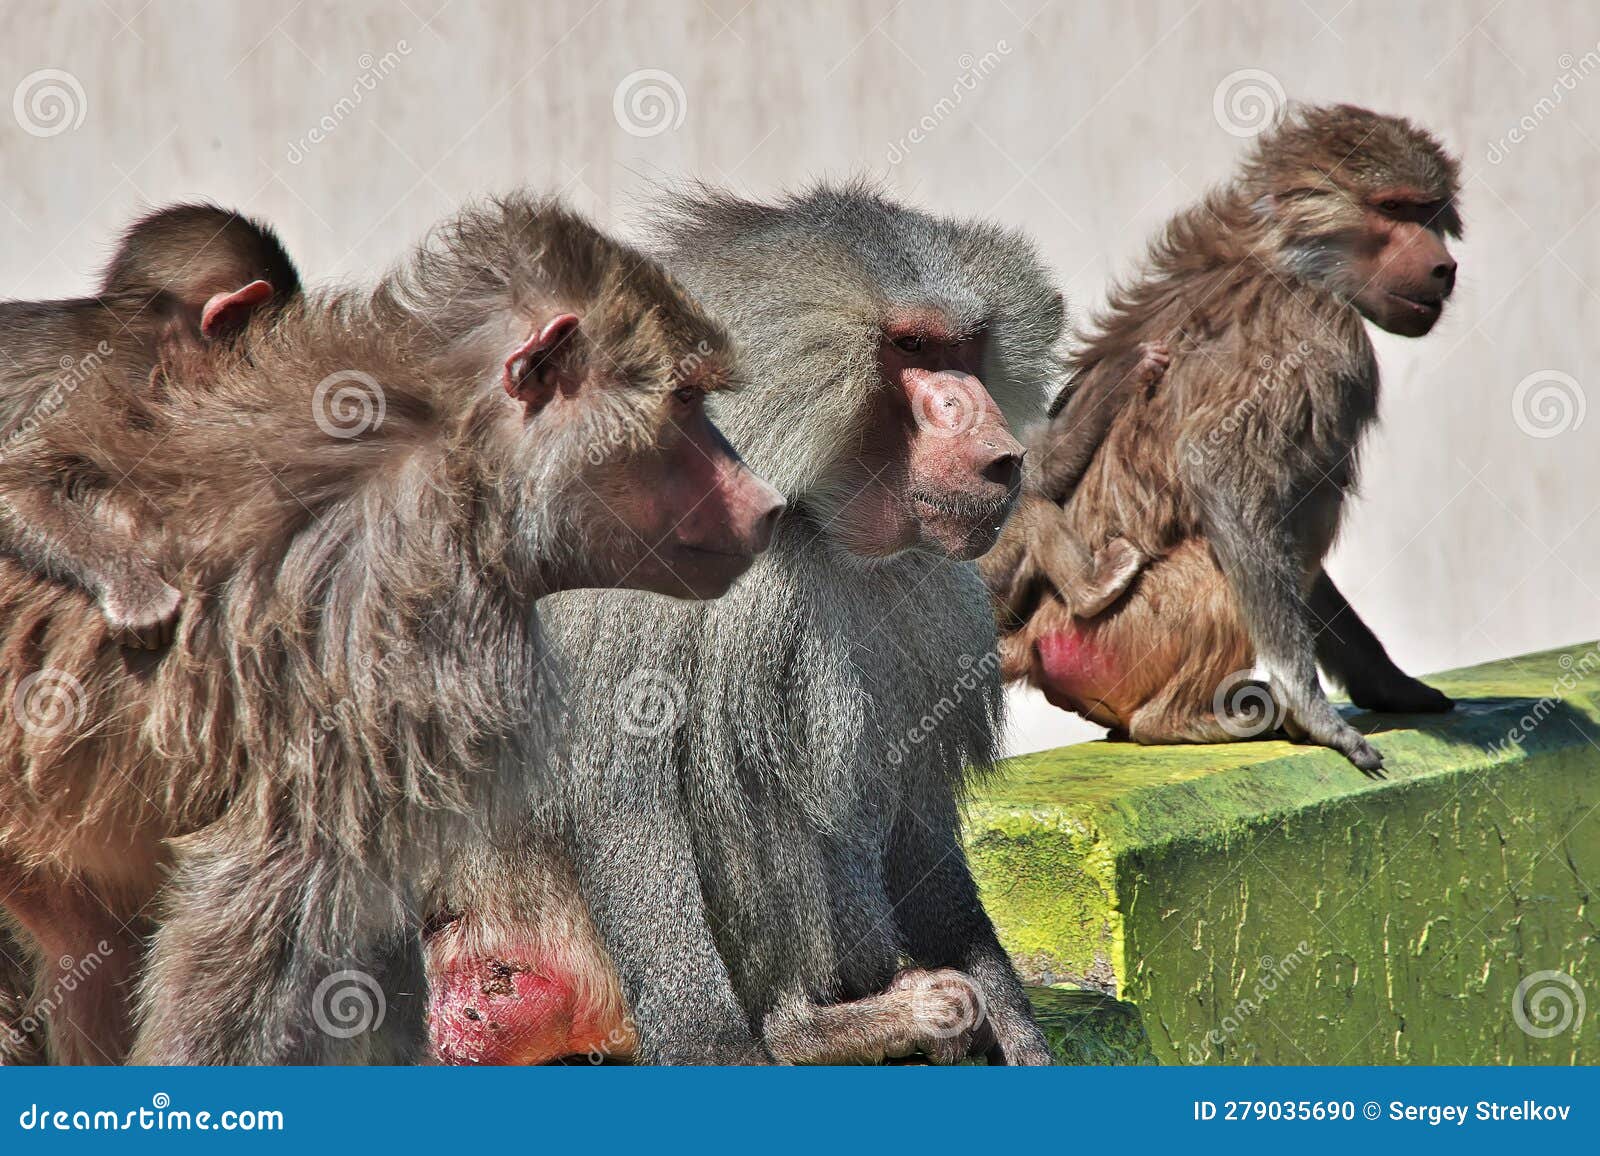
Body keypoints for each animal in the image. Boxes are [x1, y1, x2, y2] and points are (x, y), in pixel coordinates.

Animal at [424, 183, 1061, 1066]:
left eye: (964, 349)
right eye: (908, 346)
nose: (1000, 453)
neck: (813, 526)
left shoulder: (925, 598)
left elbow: (914, 816)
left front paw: (1014, 1024)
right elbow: (628, 801)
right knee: (745, 772)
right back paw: (816, 1030)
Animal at [990, 104, 1459, 773]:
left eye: (1431, 212)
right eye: (1393, 208)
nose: (1445, 267)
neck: (1278, 259)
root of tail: (1031, 634)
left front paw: (1389, 685)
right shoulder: (1318, 333)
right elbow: (1222, 477)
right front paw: (1316, 711)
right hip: (1123, 631)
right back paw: (1187, 721)